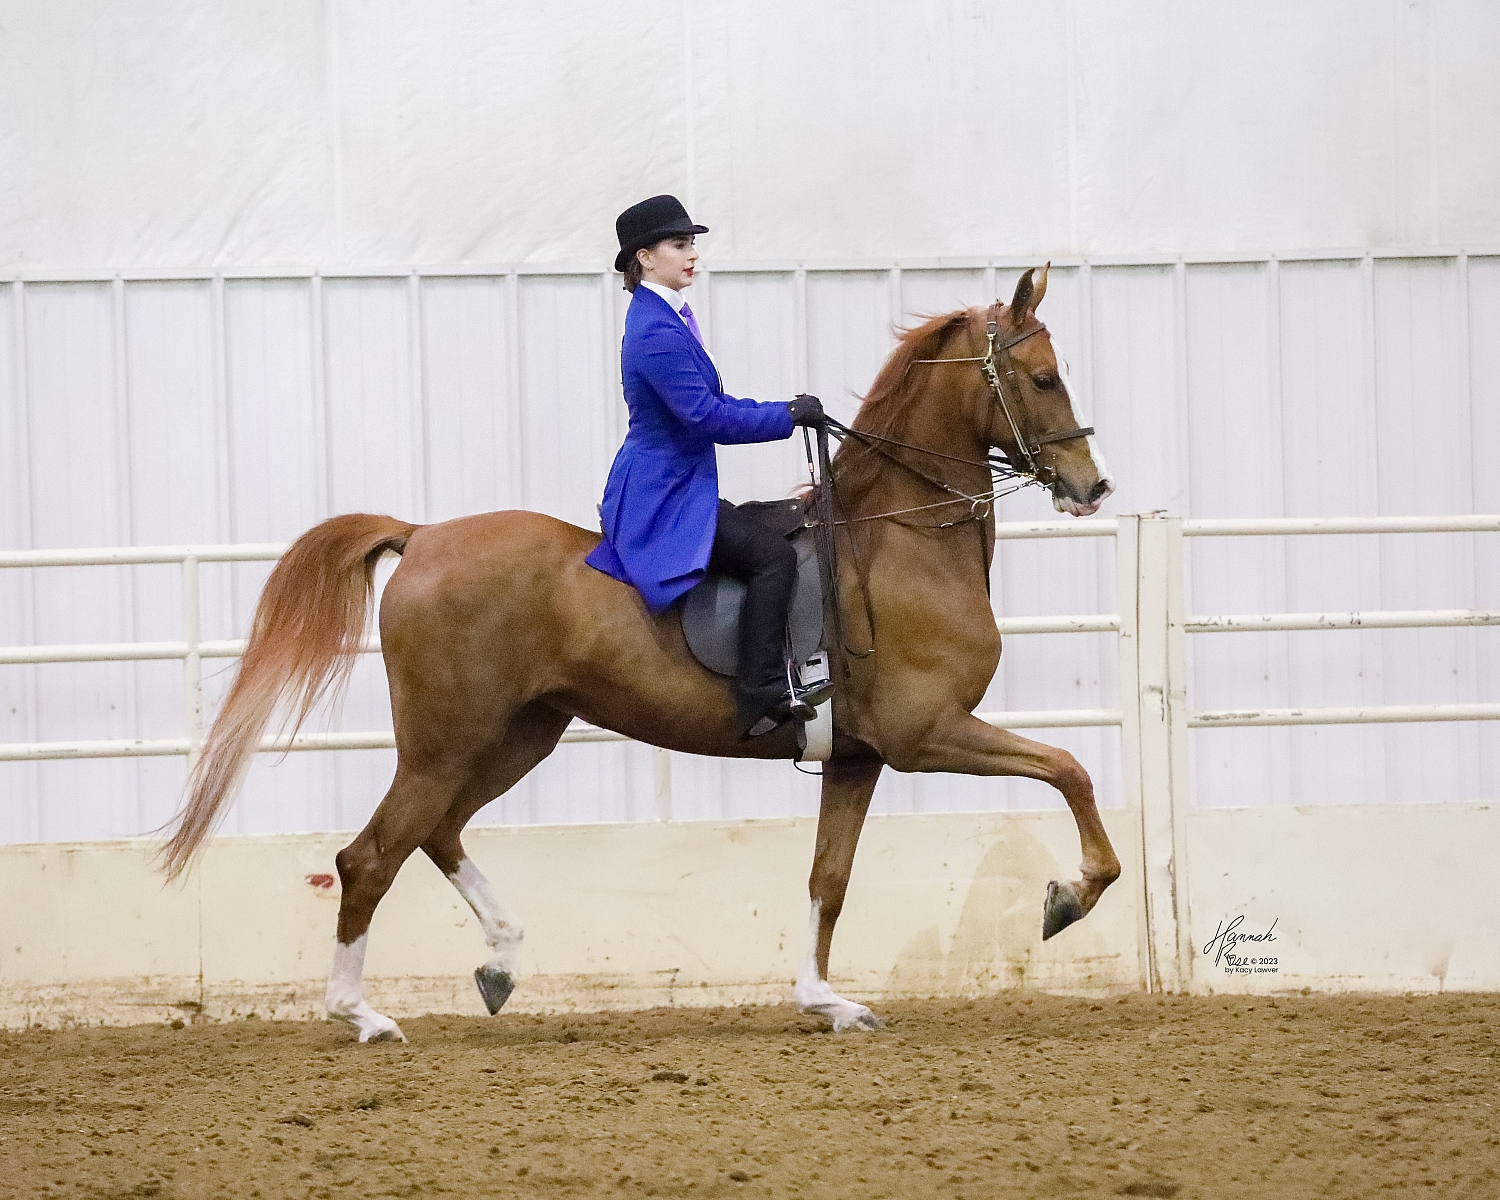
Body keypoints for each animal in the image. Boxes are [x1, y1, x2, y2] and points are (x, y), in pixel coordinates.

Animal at [160, 263, 1120, 1040]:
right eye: (1043, 376)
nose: (1092, 486)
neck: (900, 541)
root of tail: (424, 536)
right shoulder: (927, 736)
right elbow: (1071, 769)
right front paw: (1068, 897)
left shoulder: (858, 757)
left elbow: (829, 880)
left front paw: (826, 1002)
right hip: (445, 742)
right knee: (370, 858)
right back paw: (361, 1015)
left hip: (517, 736)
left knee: (436, 832)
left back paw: (500, 961)